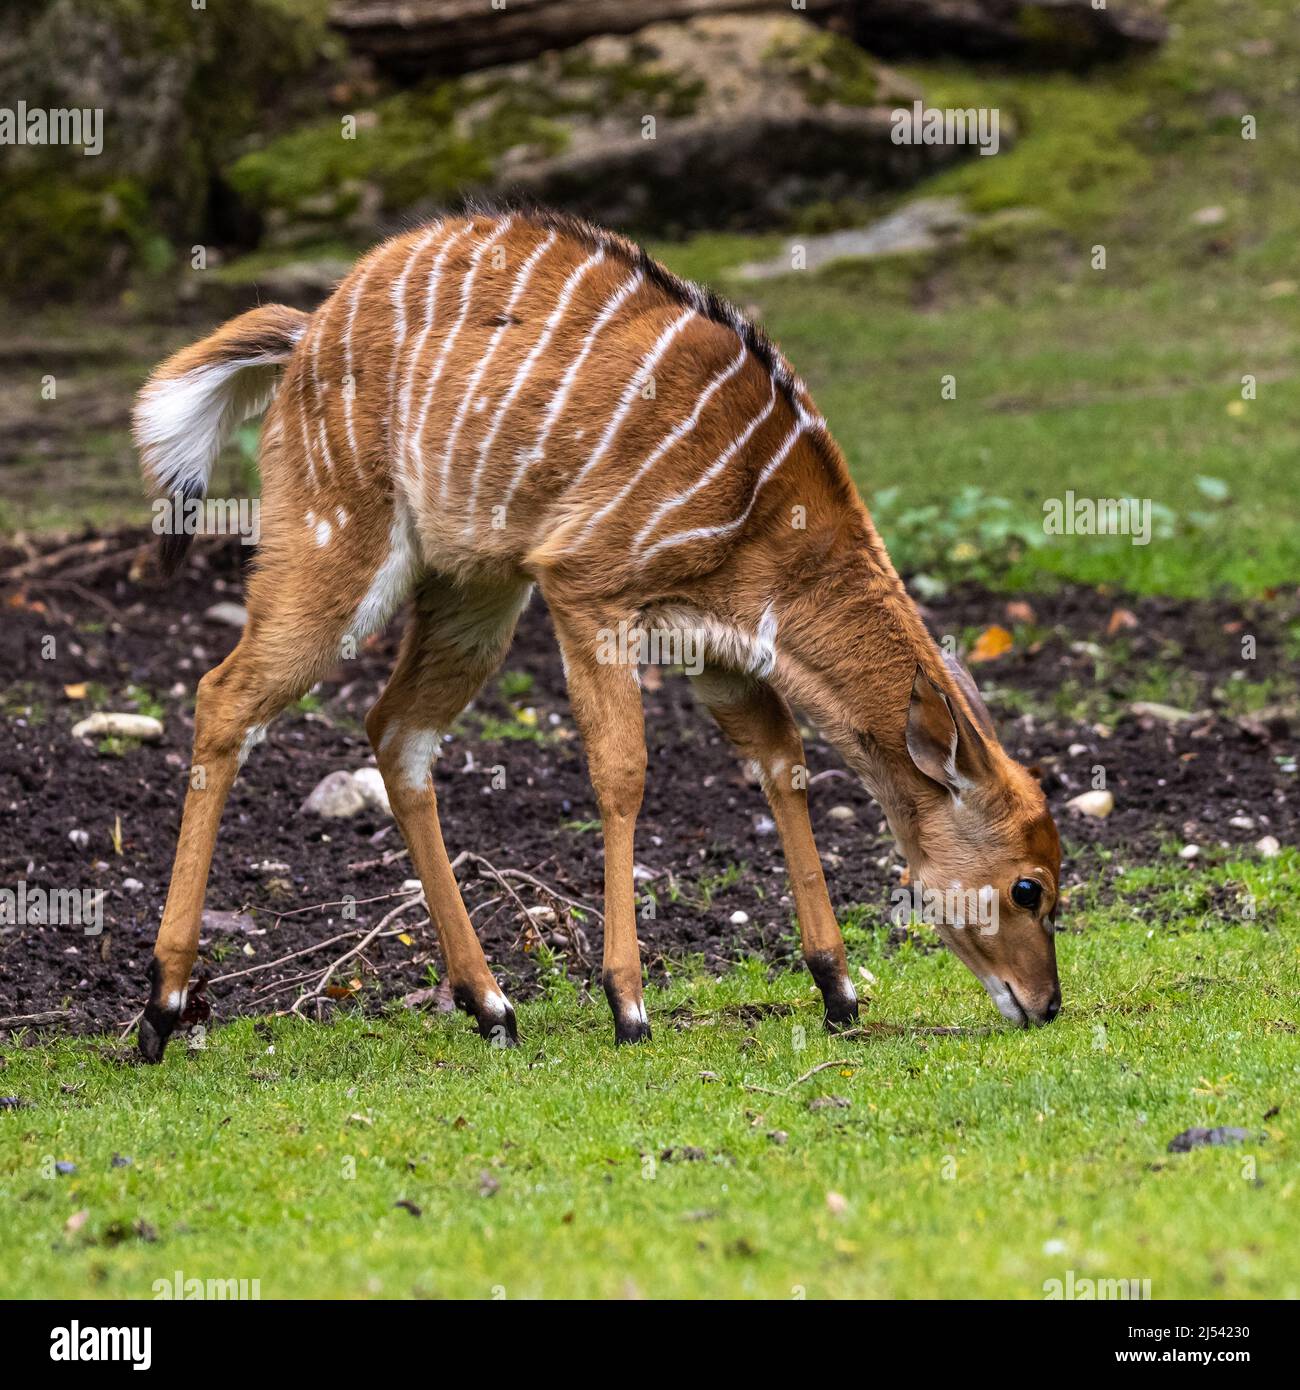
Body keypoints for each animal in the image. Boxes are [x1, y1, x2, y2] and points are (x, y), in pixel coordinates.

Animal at [131, 205, 1062, 1061]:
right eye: (1030, 889)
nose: (1045, 1005)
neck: (771, 517)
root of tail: (304, 333)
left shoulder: (718, 650)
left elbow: (782, 763)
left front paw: (837, 990)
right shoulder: (586, 589)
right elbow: (623, 772)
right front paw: (629, 1006)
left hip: (476, 587)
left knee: (396, 730)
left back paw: (492, 1007)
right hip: (338, 544)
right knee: (225, 695)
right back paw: (163, 1008)